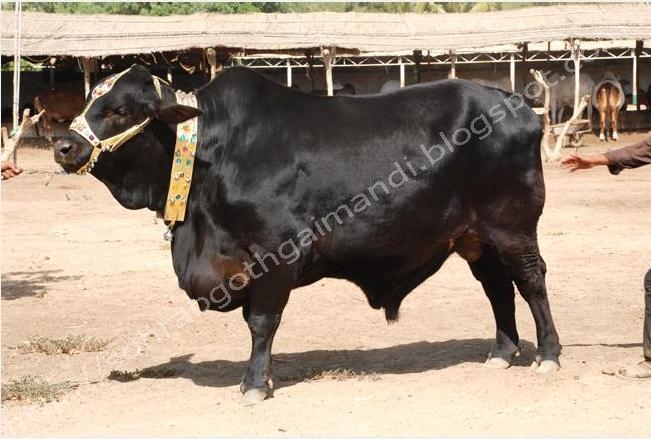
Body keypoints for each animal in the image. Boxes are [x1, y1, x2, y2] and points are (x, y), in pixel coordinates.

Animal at [53, 65, 561, 405]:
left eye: (120, 110)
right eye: (90, 101)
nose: (63, 146)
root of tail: (516, 103)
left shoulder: (275, 253)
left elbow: (261, 322)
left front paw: (255, 385)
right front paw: (261, 378)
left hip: (513, 226)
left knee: (531, 280)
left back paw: (548, 353)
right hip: (476, 238)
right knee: (497, 287)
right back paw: (502, 352)